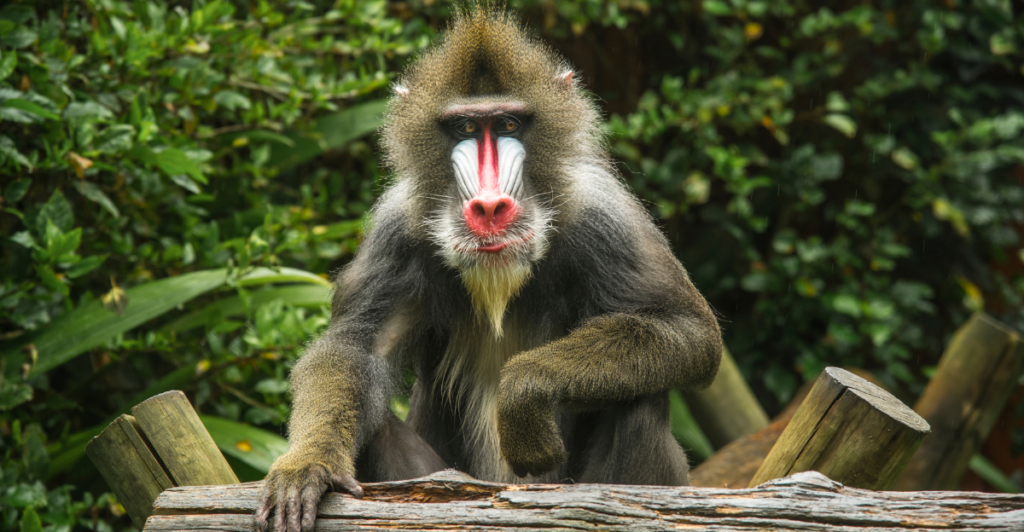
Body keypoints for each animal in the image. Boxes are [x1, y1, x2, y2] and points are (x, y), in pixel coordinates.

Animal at [256, 8, 722, 532]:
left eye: (507, 123)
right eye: (463, 129)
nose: (490, 206)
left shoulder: (606, 219)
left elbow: (687, 331)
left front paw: (523, 392)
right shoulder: (394, 237)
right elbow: (353, 349)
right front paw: (306, 466)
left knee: (641, 397)